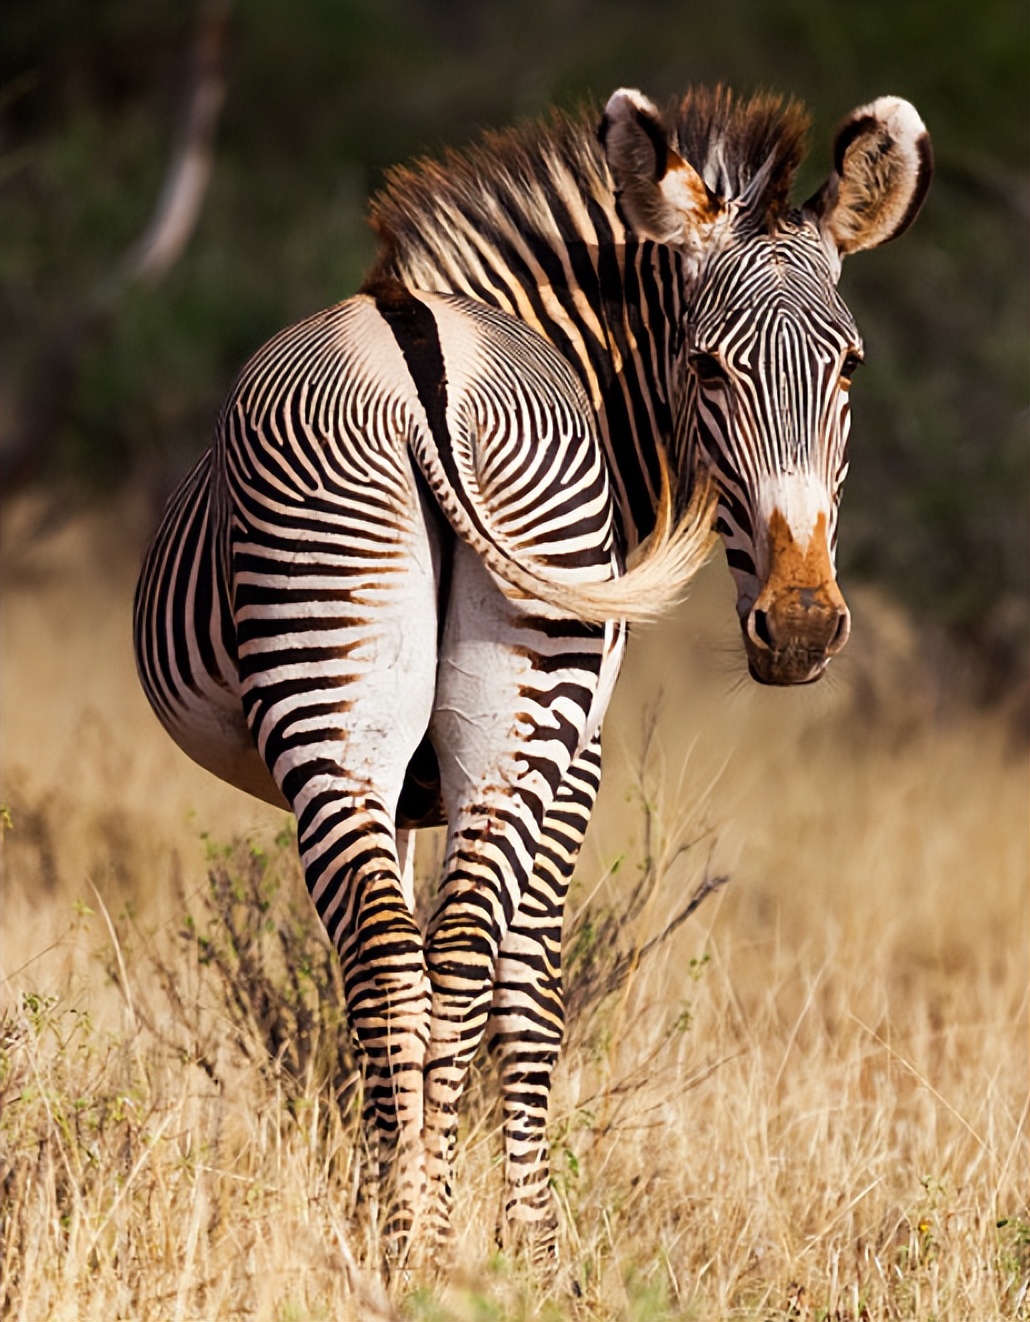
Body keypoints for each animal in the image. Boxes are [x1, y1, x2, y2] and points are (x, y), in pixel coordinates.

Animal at [134, 84, 932, 1268]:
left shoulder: (432, 779)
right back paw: (440, 1247)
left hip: (363, 717)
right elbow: (525, 986)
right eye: (708, 367)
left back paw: (412, 1248)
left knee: (407, 968)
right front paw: (529, 1245)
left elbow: (425, 964)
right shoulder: (574, 754)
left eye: (849, 368)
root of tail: (422, 374)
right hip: (508, 701)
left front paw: (413, 1206)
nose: (798, 629)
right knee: (462, 969)